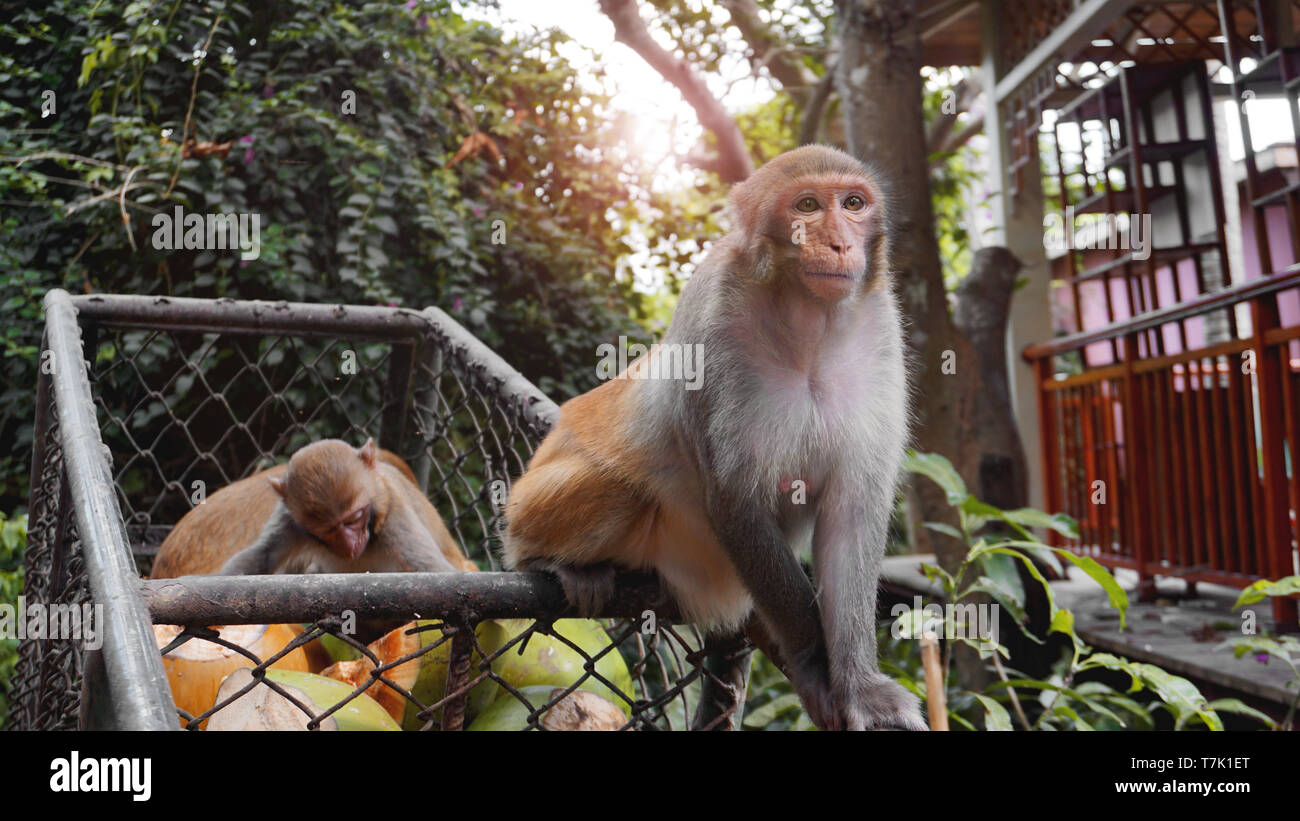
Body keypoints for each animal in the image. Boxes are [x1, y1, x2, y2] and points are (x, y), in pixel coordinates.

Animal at [151, 439, 476, 578]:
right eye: (328, 530)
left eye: (356, 518)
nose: (350, 544)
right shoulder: (292, 520)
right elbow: (262, 557)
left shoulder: (396, 519)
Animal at [502, 145, 926, 731]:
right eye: (808, 206)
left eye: (854, 204)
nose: (841, 242)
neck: (809, 328)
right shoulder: (715, 323)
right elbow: (733, 498)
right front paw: (812, 666)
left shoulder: (880, 333)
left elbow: (852, 513)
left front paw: (859, 685)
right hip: (528, 506)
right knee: (617, 490)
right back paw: (549, 561)